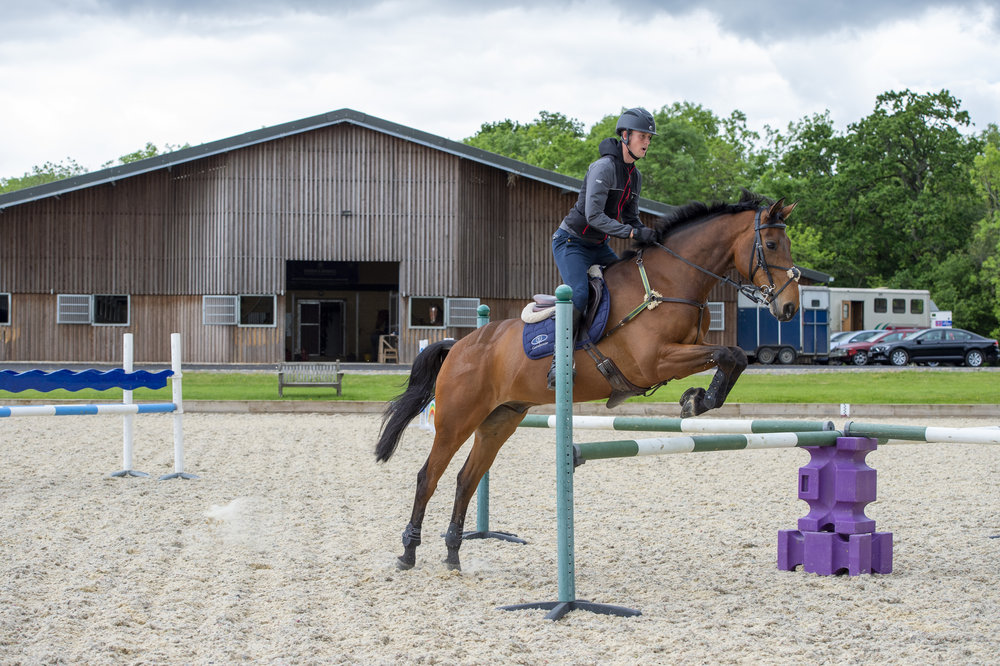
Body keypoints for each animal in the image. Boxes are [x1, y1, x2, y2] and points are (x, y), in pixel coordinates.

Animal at [375, 191, 801, 571]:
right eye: (771, 244)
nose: (789, 308)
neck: (669, 282)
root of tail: (459, 345)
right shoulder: (654, 360)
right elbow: (729, 353)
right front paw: (696, 400)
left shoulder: (685, 351)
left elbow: (733, 356)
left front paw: (698, 398)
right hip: (456, 420)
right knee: (428, 476)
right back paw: (408, 552)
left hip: (500, 419)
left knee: (466, 479)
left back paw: (453, 553)